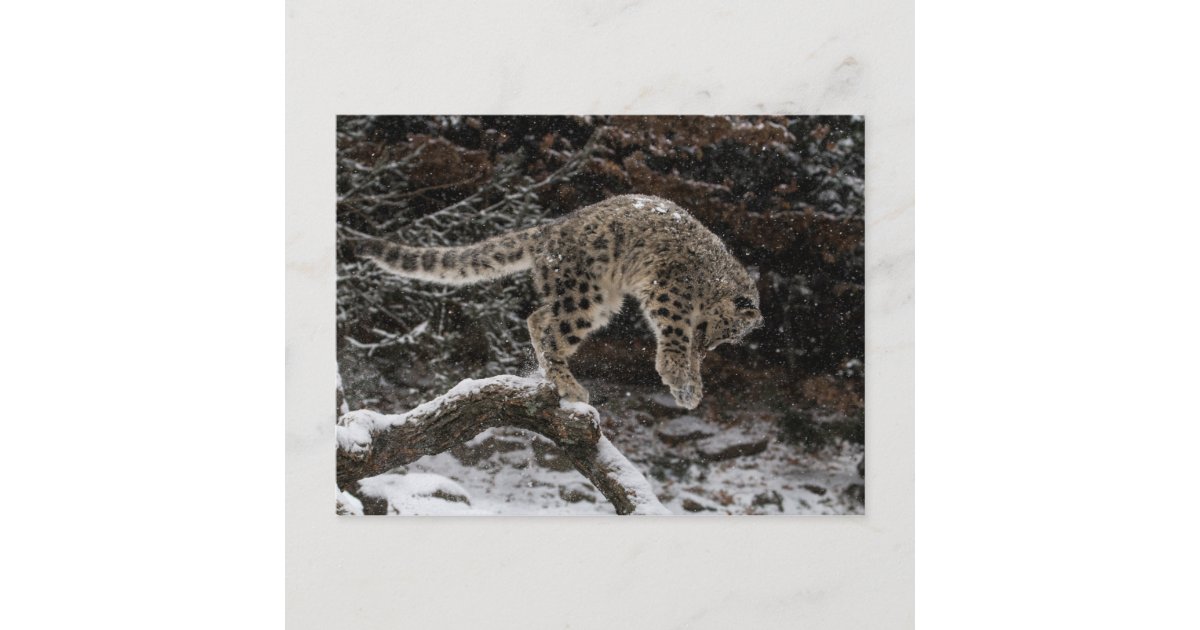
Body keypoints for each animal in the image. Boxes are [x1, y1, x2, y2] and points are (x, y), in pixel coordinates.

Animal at [347, 194, 763, 410]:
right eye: (729, 331)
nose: (711, 346)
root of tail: (549, 229)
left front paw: (691, 387)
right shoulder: (671, 294)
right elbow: (675, 336)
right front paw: (678, 375)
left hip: (598, 299)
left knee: (538, 317)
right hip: (584, 295)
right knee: (552, 332)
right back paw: (569, 386)